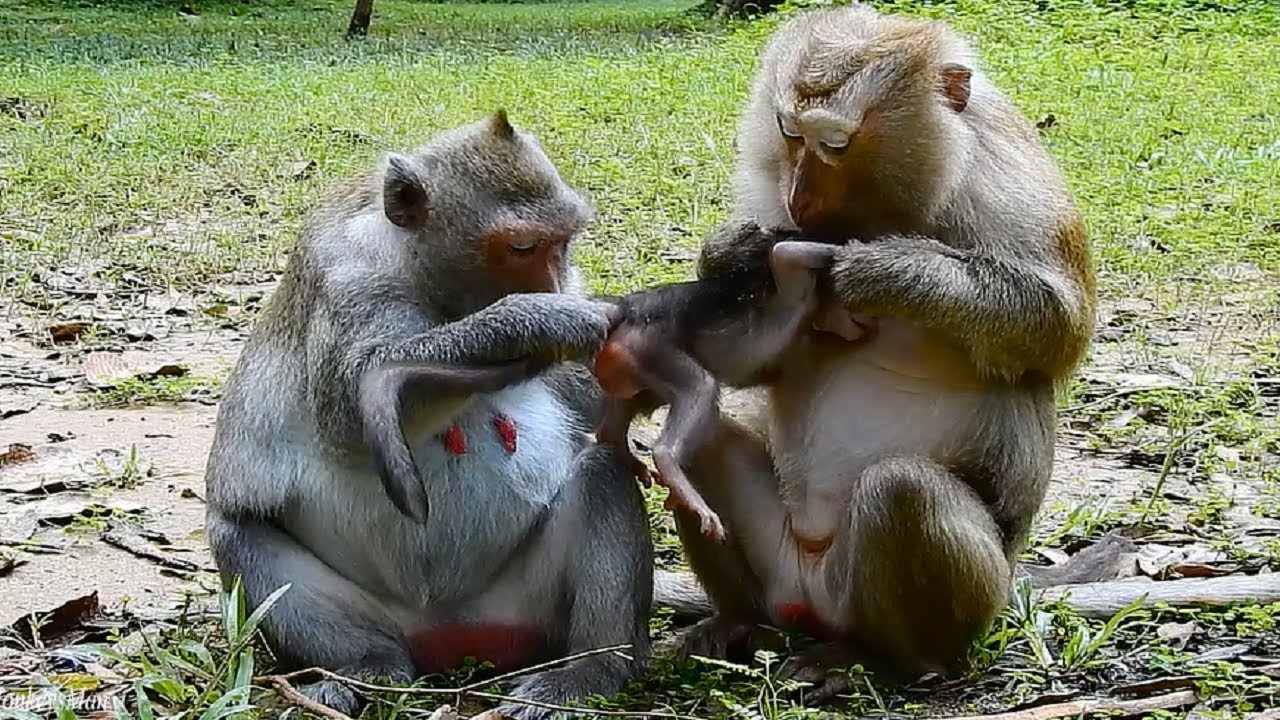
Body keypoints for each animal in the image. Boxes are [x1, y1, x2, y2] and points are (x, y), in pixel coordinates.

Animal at [202, 111, 657, 719]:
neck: (415, 272)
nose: (556, 285)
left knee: (601, 472)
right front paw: (533, 320)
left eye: (562, 244)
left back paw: (590, 668)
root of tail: (449, 632)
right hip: (385, 617)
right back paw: (364, 666)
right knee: (238, 531)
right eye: (522, 247)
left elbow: (585, 401)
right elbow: (348, 417)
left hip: (524, 605)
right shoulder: (345, 278)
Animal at [589, 226, 863, 542]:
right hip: (649, 347)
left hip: (629, 362)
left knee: (621, 418)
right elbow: (786, 255)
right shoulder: (795, 290)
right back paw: (668, 461)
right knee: (701, 387)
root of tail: (629, 309)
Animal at [665, 3, 1098, 692]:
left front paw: (887, 271)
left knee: (903, 488)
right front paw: (733, 255)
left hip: (955, 598)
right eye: (789, 133)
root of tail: (809, 602)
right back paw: (738, 622)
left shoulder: (1006, 179)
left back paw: (882, 659)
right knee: (700, 441)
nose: (800, 196)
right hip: (783, 572)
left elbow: (1055, 325)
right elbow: (745, 361)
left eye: (836, 144)